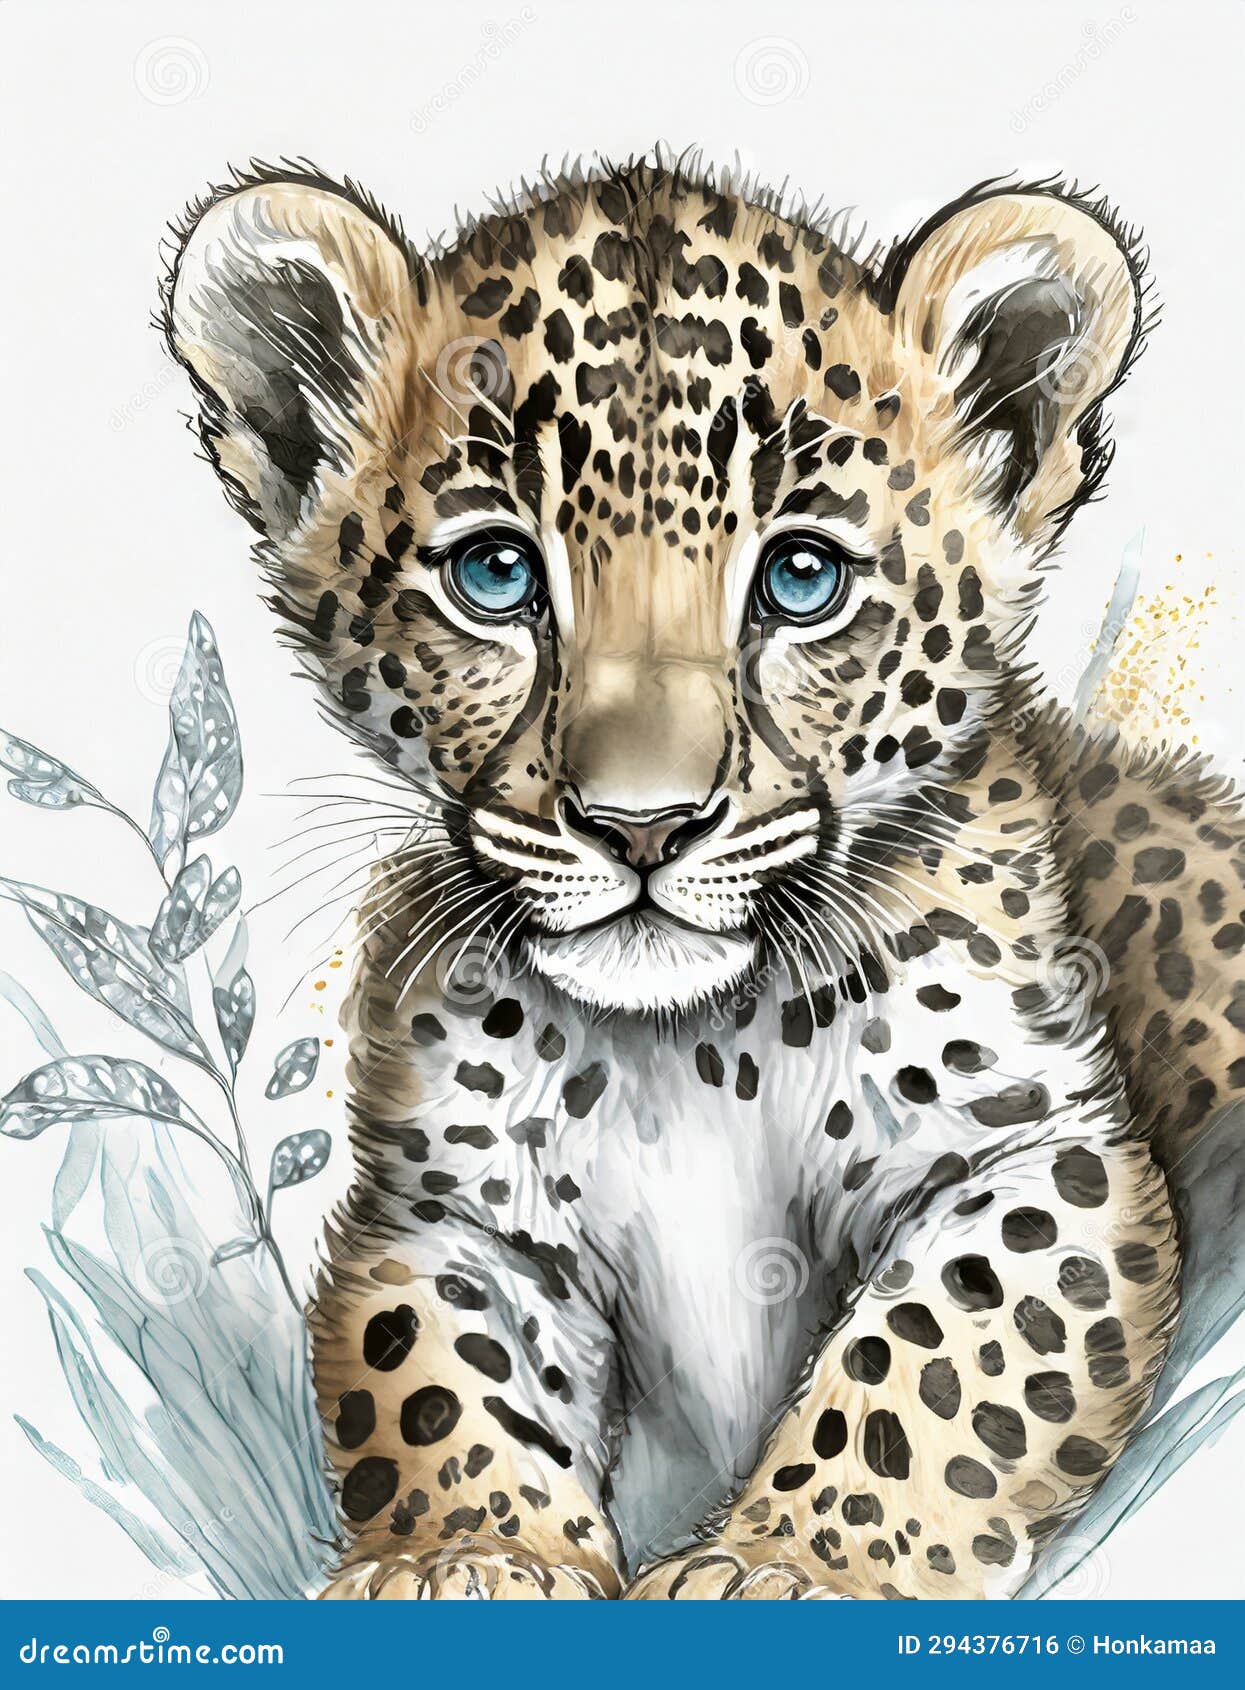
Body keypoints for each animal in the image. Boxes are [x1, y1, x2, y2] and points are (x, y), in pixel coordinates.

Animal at [161, 150, 1245, 1600]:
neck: (692, 1047)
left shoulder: (1037, 1151)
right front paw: (466, 1554)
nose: (642, 825)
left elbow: (930, 1364)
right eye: (494, 573)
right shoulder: (453, 1210)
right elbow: (434, 1365)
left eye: (802, 577)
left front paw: (787, 1562)